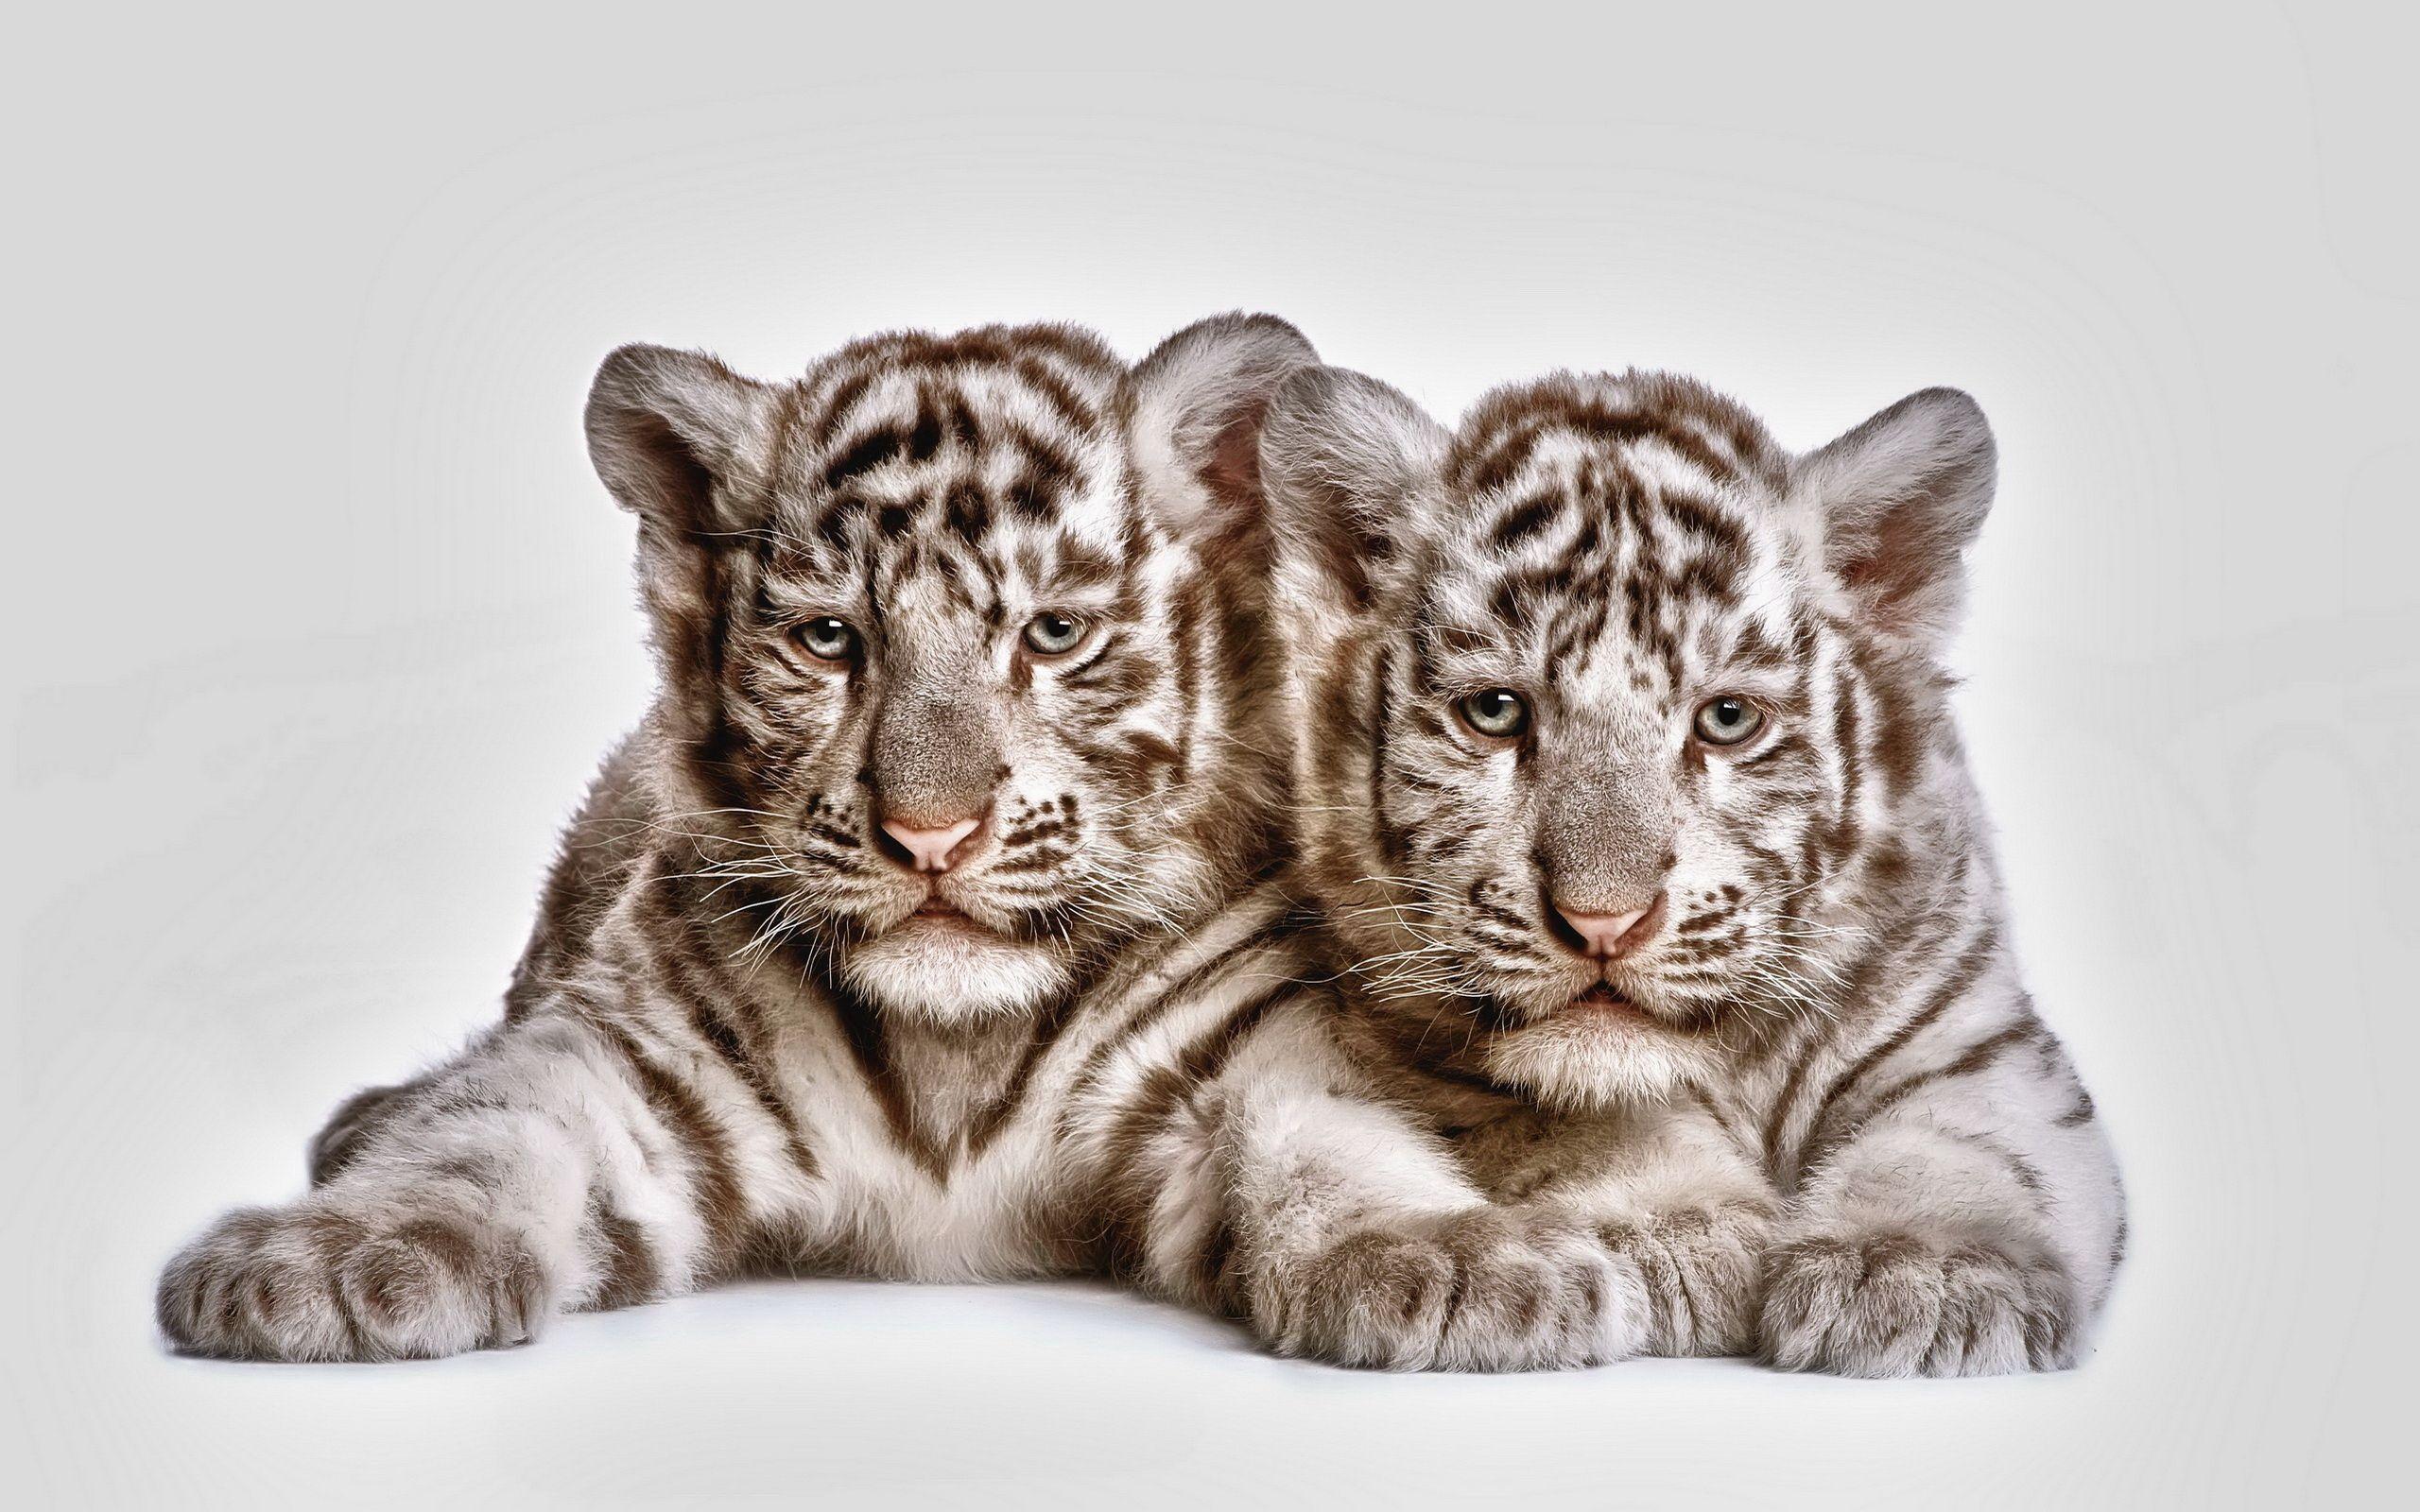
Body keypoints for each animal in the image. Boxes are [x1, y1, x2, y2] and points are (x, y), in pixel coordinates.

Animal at [154, 314, 1345, 1361]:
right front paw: (321, 1263)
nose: (930, 835)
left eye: (1053, 634)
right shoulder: (634, 1055)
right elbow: (482, 1131)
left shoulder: (1241, 1035)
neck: (954, 1051)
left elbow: (1319, 1126)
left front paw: (1394, 1258)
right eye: (828, 640)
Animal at [1149, 360, 2128, 1377]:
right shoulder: (1415, 1053)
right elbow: (1581, 1121)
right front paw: (1680, 1232)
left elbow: (1974, 1144)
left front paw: (1921, 1273)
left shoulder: (1981, 1037)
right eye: (1495, 712)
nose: (1603, 922)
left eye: (1727, 719)